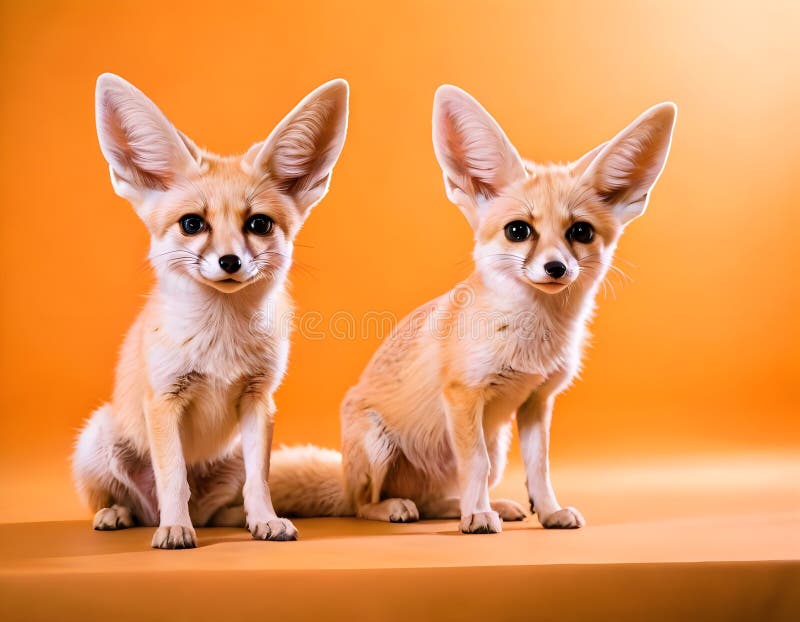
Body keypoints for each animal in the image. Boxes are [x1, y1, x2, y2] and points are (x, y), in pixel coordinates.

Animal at [71, 73, 349, 549]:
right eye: (192, 224)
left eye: (258, 224)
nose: (230, 262)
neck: (221, 339)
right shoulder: (165, 400)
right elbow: (173, 477)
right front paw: (174, 529)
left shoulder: (259, 400)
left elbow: (260, 481)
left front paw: (266, 520)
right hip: (98, 439)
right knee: (129, 501)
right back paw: (125, 515)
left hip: (231, 458)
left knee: (217, 508)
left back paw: (233, 519)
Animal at [268, 86, 677, 534]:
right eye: (518, 230)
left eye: (580, 232)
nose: (556, 268)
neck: (531, 338)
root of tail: (343, 478)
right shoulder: (463, 395)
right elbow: (474, 464)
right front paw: (479, 518)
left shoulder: (537, 401)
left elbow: (539, 469)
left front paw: (547, 512)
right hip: (378, 448)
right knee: (363, 505)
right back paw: (400, 508)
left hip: (496, 446)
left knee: (436, 501)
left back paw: (484, 506)